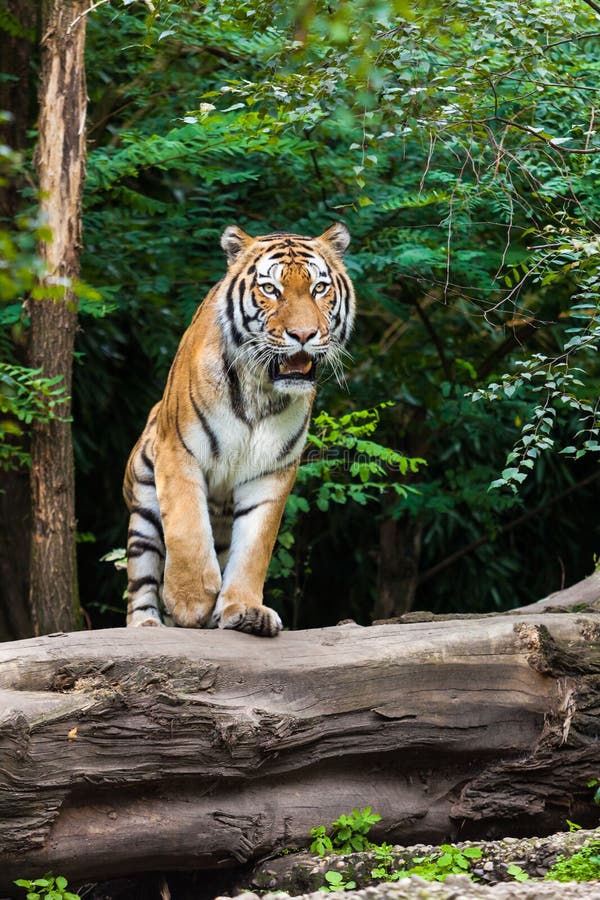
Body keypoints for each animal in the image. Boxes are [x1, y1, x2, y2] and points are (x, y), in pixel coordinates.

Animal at [123, 222, 355, 636]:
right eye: (271, 289)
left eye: (319, 288)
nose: (304, 334)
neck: (260, 392)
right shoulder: (178, 452)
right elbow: (187, 528)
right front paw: (189, 599)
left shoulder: (272, 471)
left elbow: (254, 548)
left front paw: (244, 609)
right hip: (143, 516)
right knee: (141, 583)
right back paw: (148, 624)